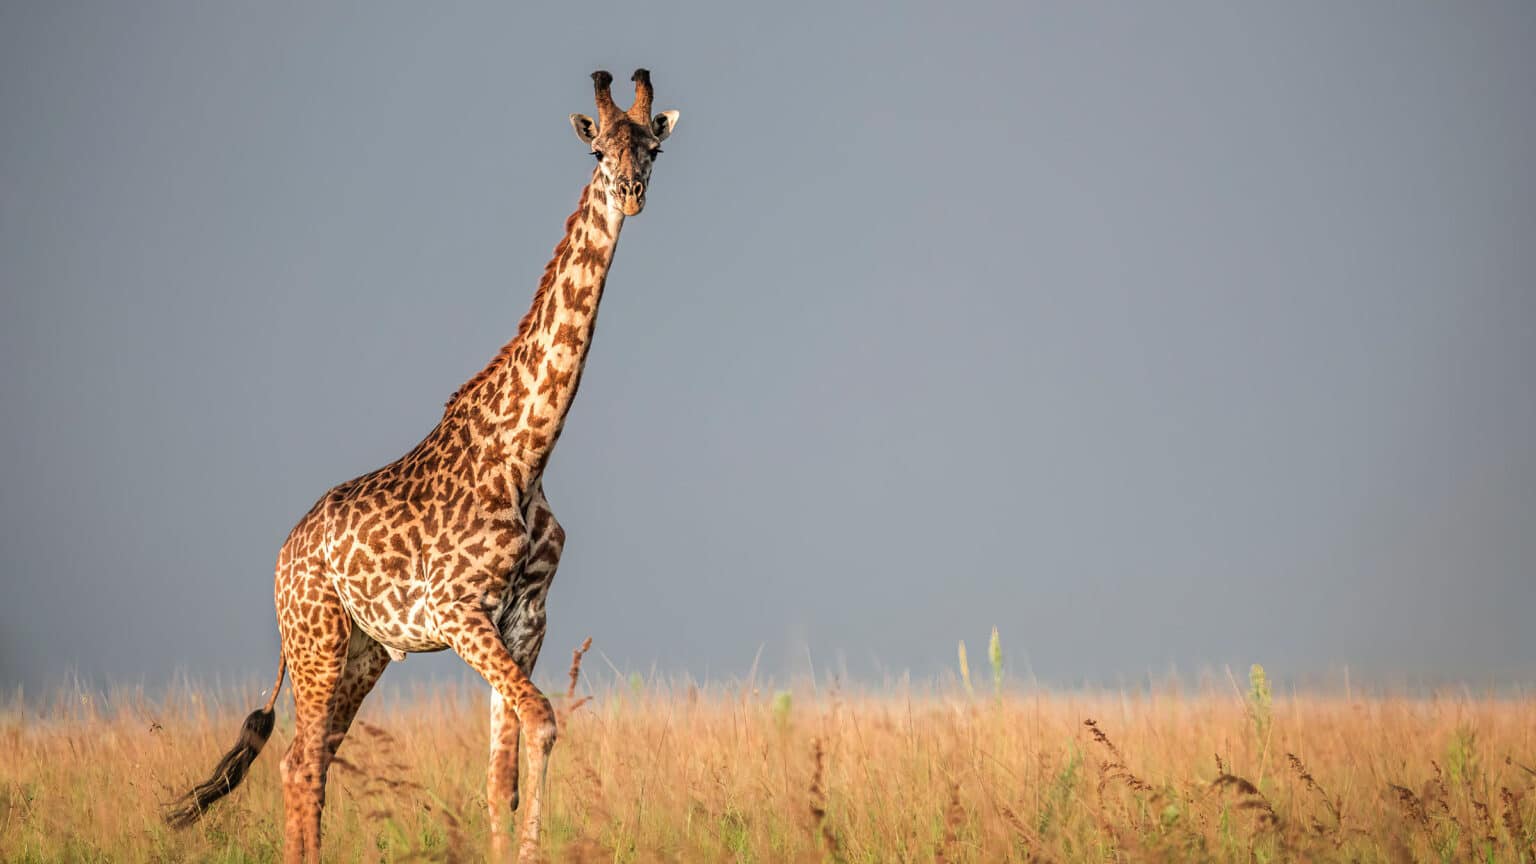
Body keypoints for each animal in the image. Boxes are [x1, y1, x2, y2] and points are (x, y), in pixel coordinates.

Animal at [164, 69, 680, 863]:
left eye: (653, 147)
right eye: (599, 154)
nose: (631, 192)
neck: (526, 454)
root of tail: (283, 559)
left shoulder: (527, 620)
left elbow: (503, 776)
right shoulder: (458, 610)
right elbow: (543, 721)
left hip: (364, 650)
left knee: (309, 757)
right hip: (316, 639)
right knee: (302, 760)